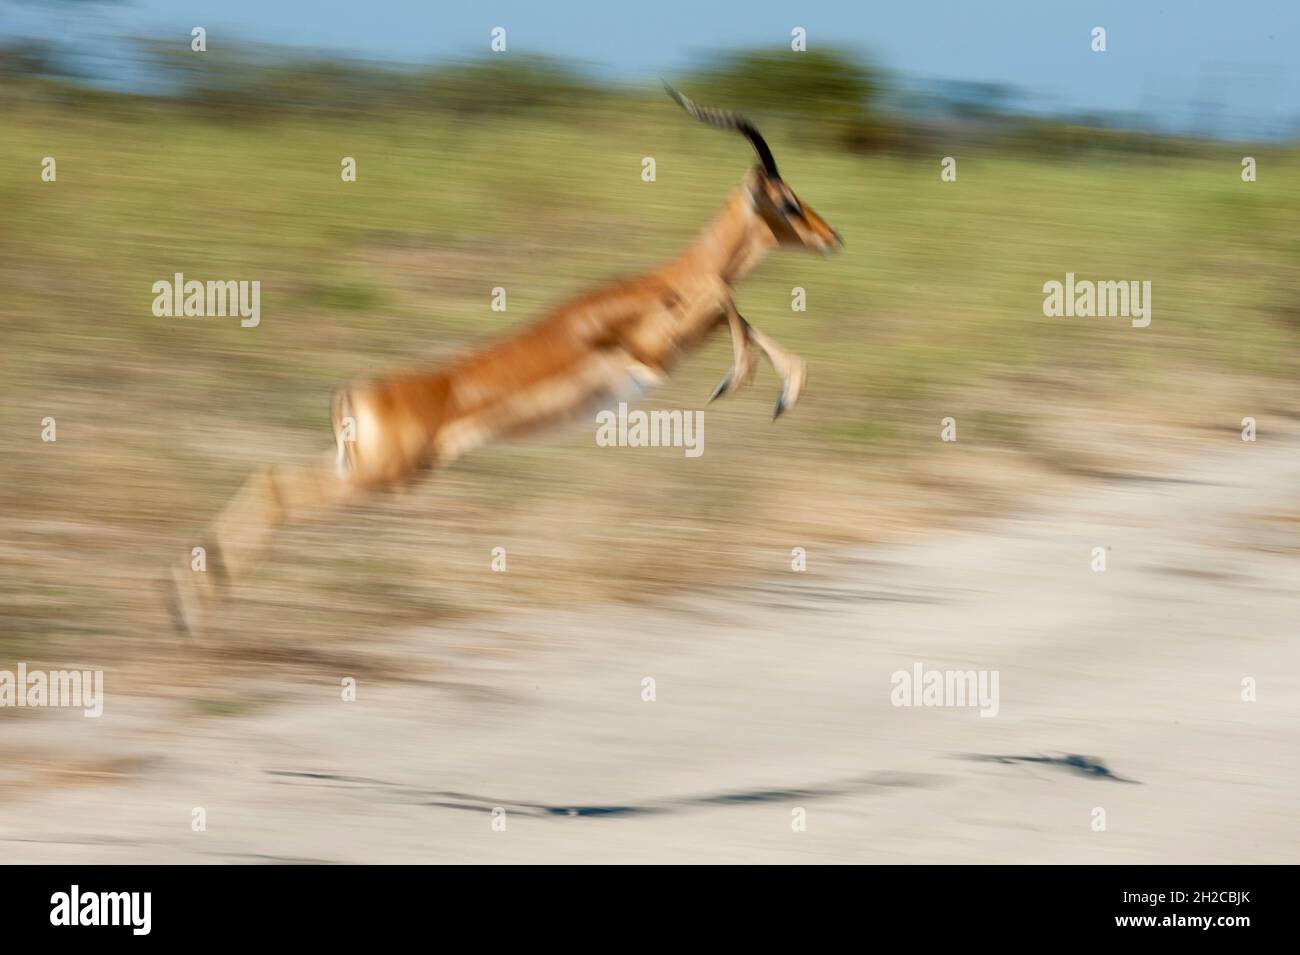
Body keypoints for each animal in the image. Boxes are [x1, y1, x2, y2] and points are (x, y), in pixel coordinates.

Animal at [167, 85, 843, 636]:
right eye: (787, 203)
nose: (832, 237)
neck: (661, 284)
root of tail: (349, 393)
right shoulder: (656, 354)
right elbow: (729, 301)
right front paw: (739, 382)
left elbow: (739, 312)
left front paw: (783, 392)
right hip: (379, 478)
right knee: (277, 489)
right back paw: (192, 609)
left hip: (361, 470)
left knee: (270, 478)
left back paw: (185, 603)